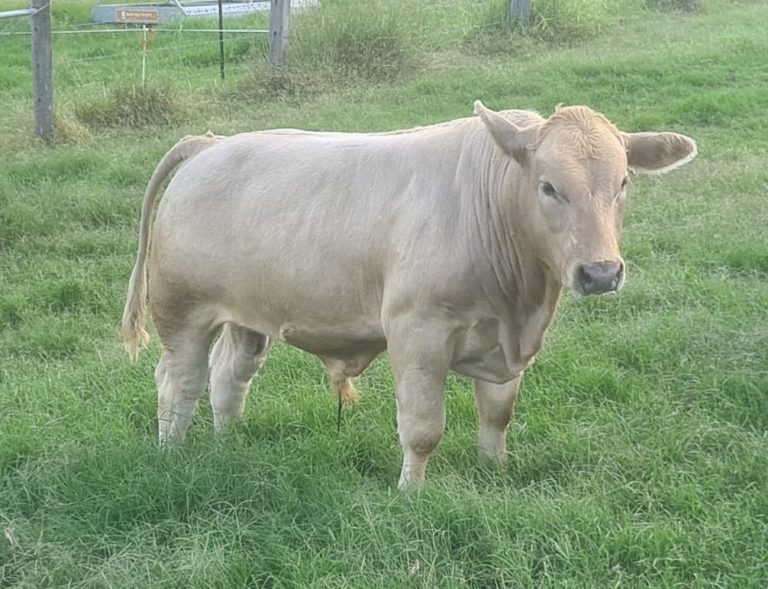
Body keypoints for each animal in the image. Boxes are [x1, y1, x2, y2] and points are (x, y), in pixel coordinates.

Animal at [122, 102, 697, 489]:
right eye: (549, 187)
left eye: (623, 183)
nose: (600, 273)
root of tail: (210, 143)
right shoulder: (418, 333)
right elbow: (423, 428)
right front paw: (410, 492)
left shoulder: (505, 344)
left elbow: (497, 413)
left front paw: (496, 469)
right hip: (181, 312)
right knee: (179, 384)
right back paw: (172, 453)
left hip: (249, 316)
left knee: (228, 378)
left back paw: (228, 445)